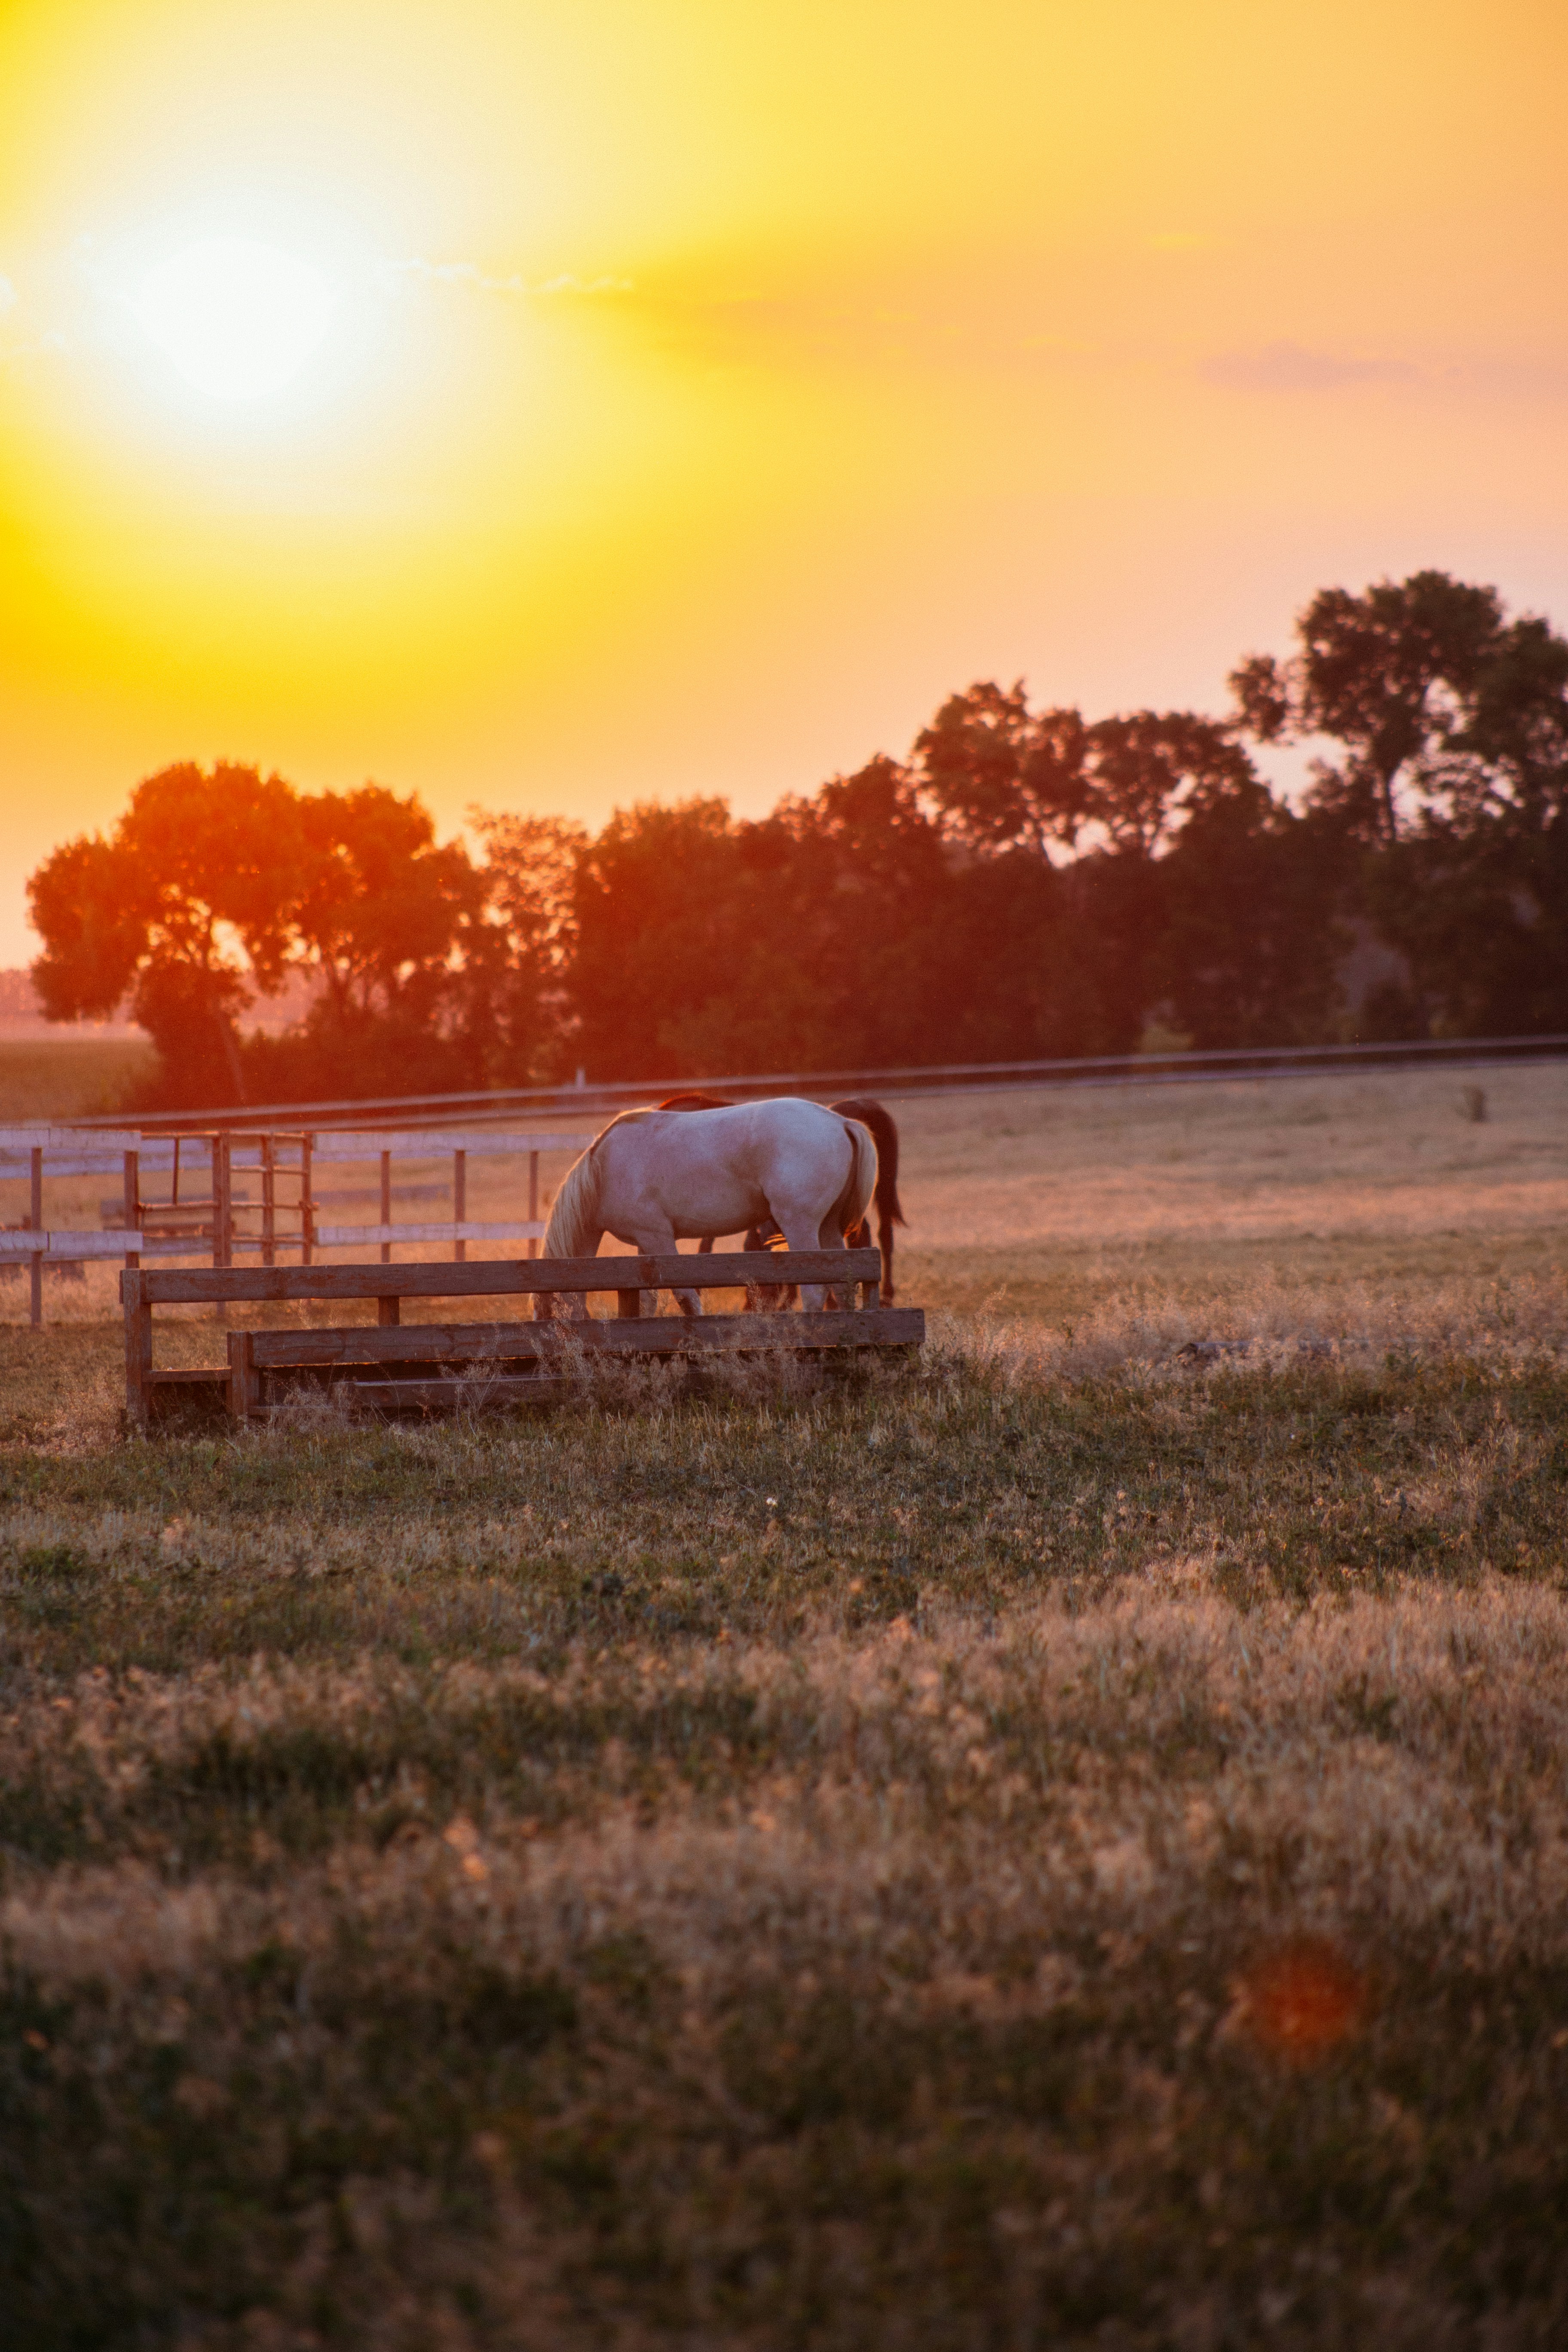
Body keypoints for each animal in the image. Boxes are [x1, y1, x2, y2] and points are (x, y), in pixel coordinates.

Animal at [541, 1098, 876, 1317]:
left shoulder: (658, 1238)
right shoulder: (645, 1244)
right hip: (829, 1228)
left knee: (814, 1291)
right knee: (843, 1290)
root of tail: (840, 1122)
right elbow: (648, 1301)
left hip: (800, 1226)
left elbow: (687, 1298)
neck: (603, 1171)